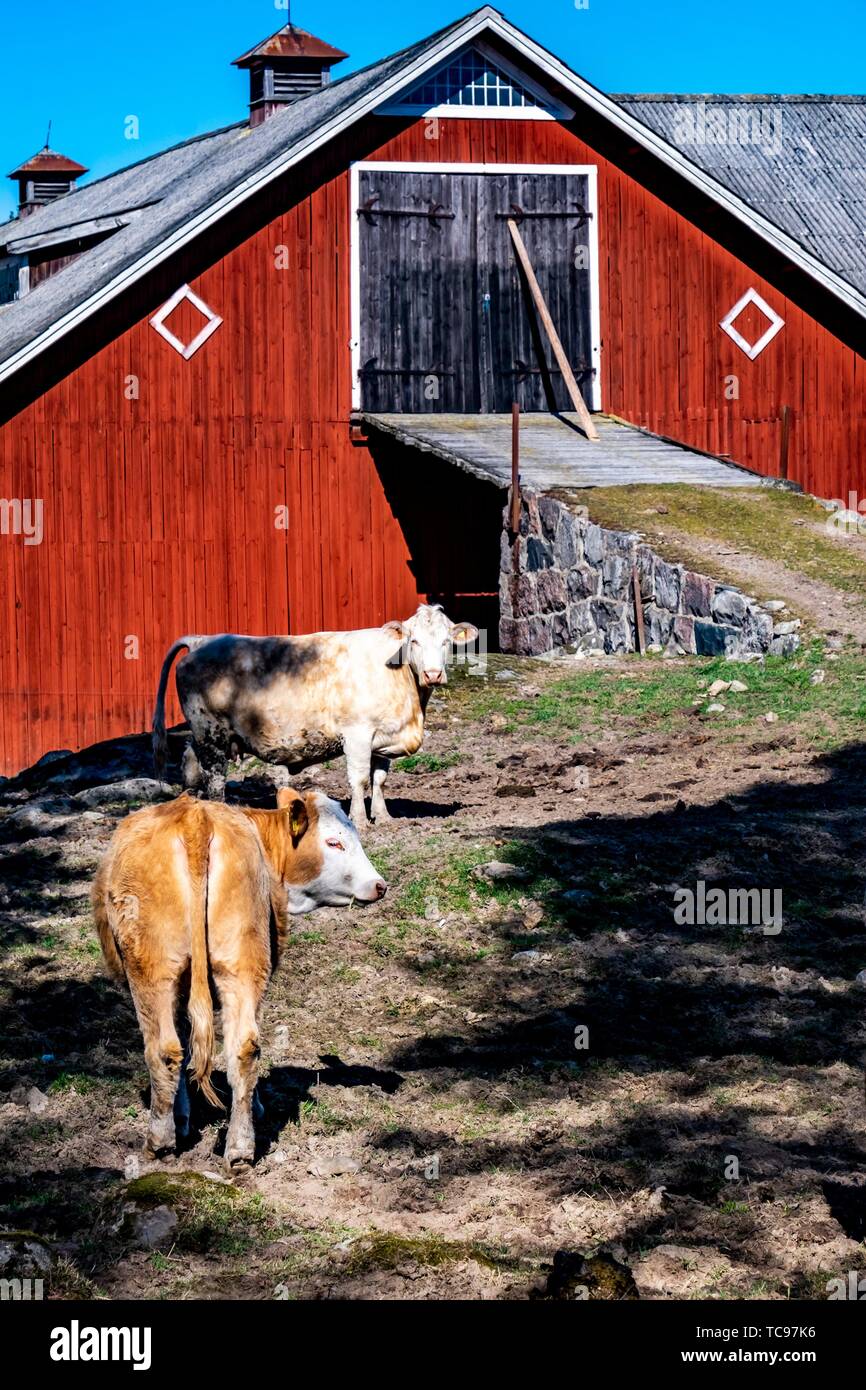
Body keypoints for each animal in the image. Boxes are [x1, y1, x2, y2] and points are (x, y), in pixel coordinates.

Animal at [92, 788, 386, 1164]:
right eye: (334, 842)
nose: (379, 885)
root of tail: (195, 818)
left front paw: (181, 1120)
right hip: (242, 962)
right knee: (243, 1046)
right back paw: (241, 1149)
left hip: (152, 969)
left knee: (165, 1049)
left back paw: (159, 1142)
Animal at [151, 605, 479, 826]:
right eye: (414, 641)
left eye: (446, 642)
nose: (433, 674)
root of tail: (203, 640)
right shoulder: (357, 734)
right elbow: (359, 778)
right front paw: (360, 820)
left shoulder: (384, 735)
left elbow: (380, 778)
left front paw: (383, 817)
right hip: (212, 735)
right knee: (215, 778)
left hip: (204, 735)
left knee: (191, 765)